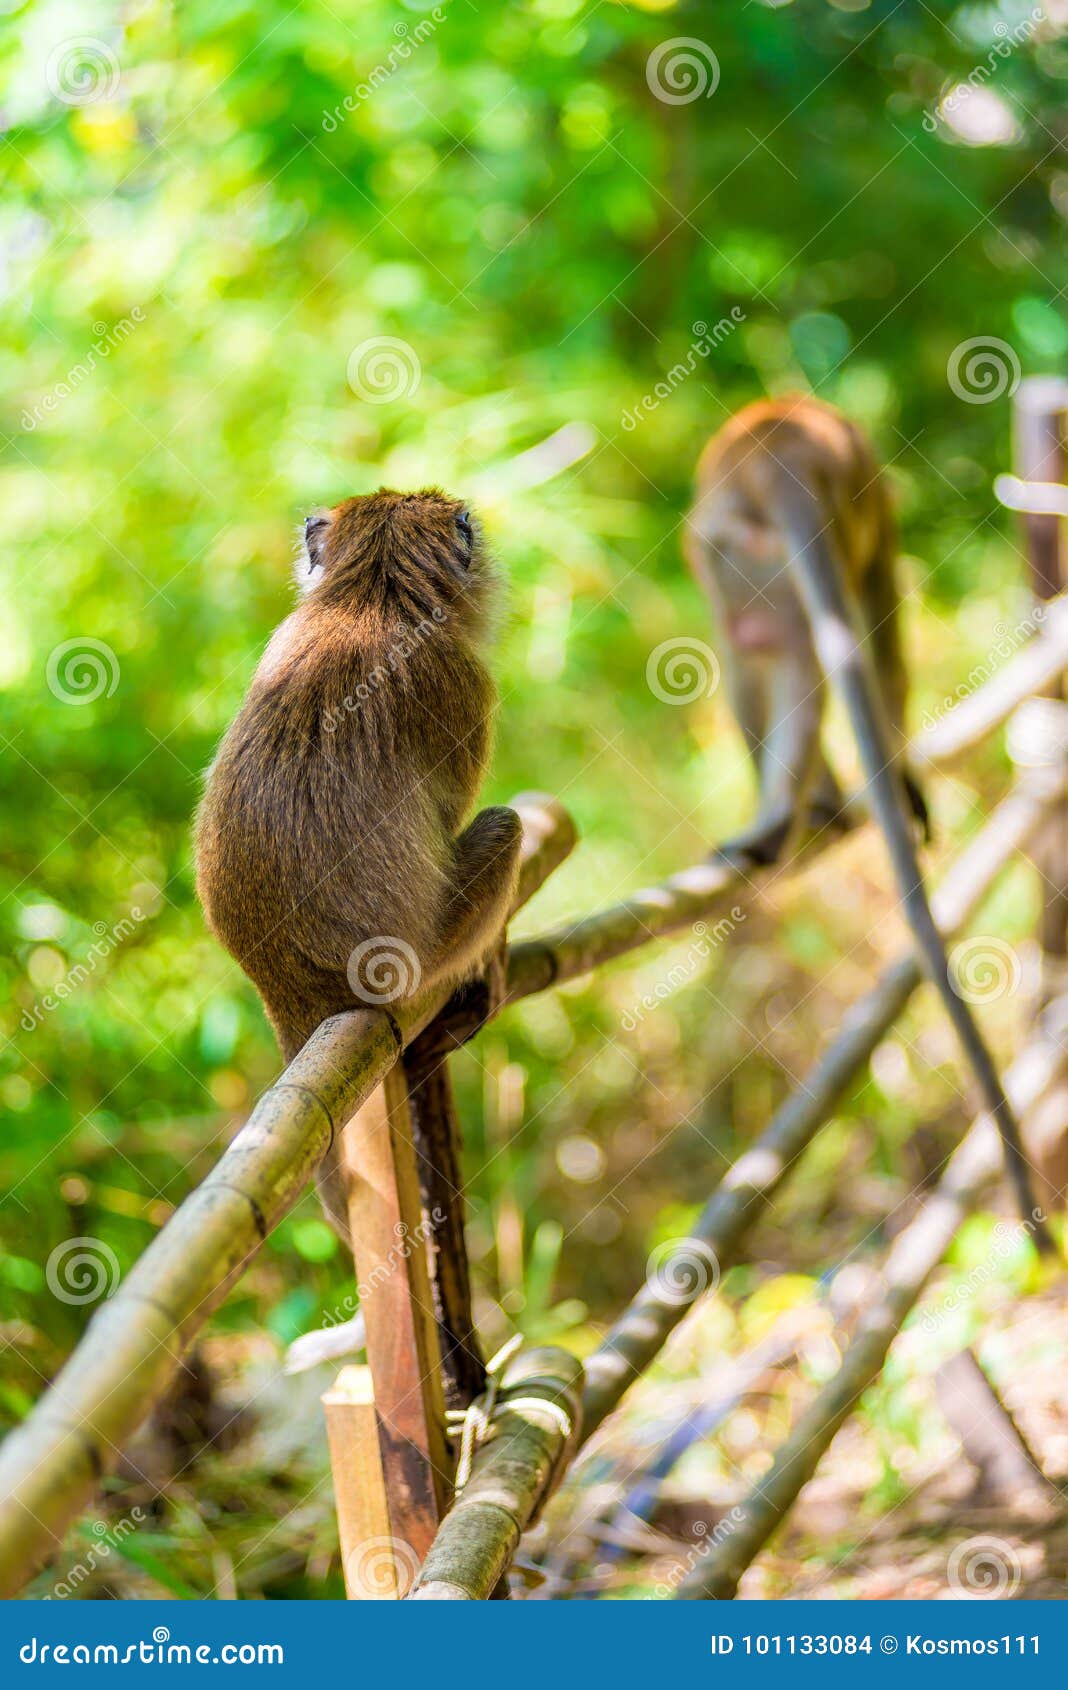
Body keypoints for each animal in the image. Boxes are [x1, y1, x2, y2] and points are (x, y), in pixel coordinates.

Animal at [196, 489, 523, 1279]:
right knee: (505, 828)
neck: (370, 595)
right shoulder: (466, 685)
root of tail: (284, 985)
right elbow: (455, 815)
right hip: (425, 958)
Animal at [684, 395, 1051, 1246]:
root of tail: (776, 445)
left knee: (766, 649)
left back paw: (788, 816)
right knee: (797, 645)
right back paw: (797, 814)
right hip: (747, 558)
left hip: (737, 558)